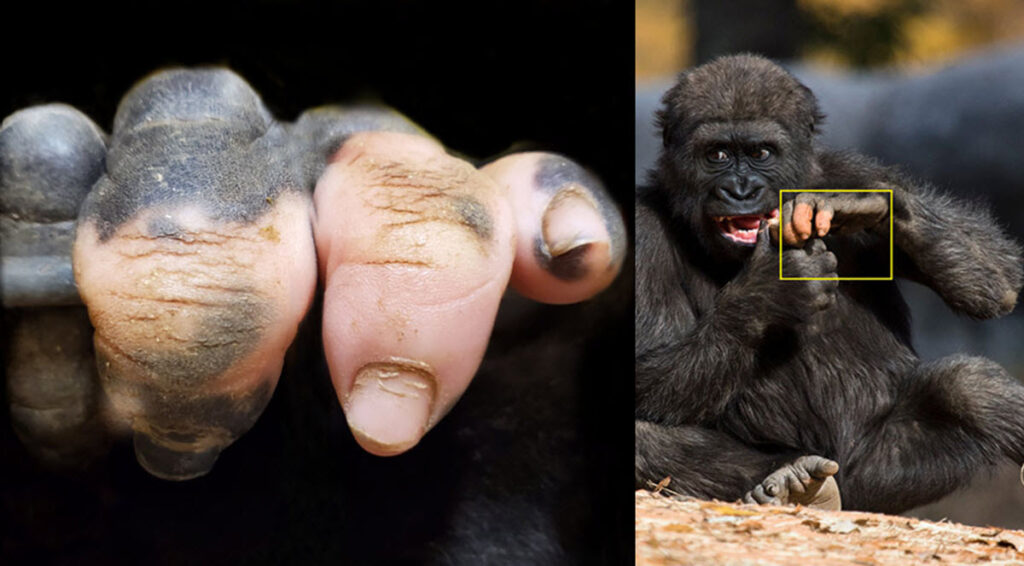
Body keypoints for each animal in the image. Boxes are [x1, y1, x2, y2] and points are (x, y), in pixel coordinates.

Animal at [635, 53, 1024, 514]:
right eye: (717, 154)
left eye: (760, 152)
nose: (740, 189)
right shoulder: (642, 231)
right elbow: (643, 377)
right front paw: (767, 290)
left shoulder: (852, 169)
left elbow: (999, 280)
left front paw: (867, 205)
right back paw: (789, 480)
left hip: (883, 476)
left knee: (970, 387)